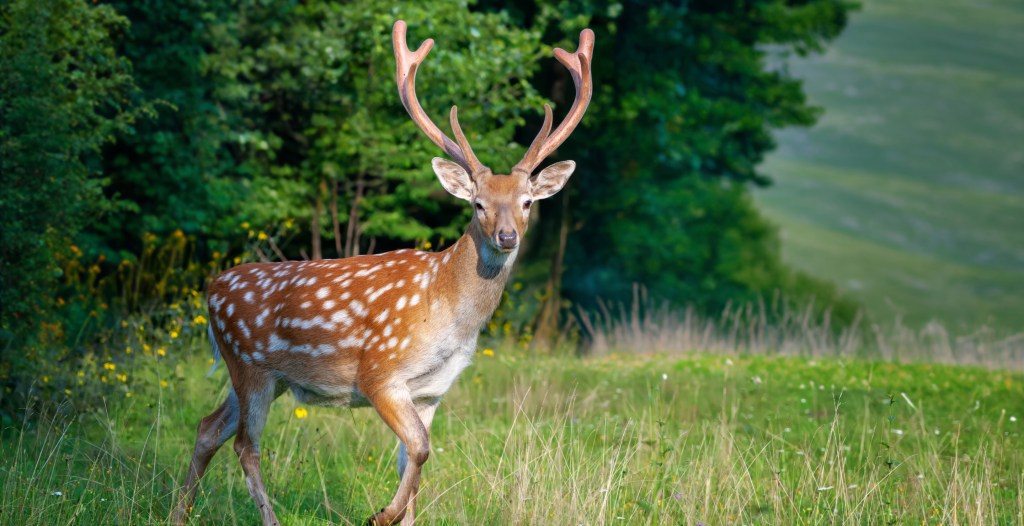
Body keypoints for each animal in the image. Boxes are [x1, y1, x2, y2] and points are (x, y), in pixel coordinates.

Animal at [172, 19, 593, 526]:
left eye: (527, 202)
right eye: (478, 204)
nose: (507, 236)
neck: (446, 310)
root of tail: (212, 287)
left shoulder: (431, 391)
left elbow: (413, 459)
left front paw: (397, 514)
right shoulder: (380, 373)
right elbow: (420, 449)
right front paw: (380, 514)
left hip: (267, 378)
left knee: (207, 428)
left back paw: (178, 514)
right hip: (250, 364)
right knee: (245, 445)